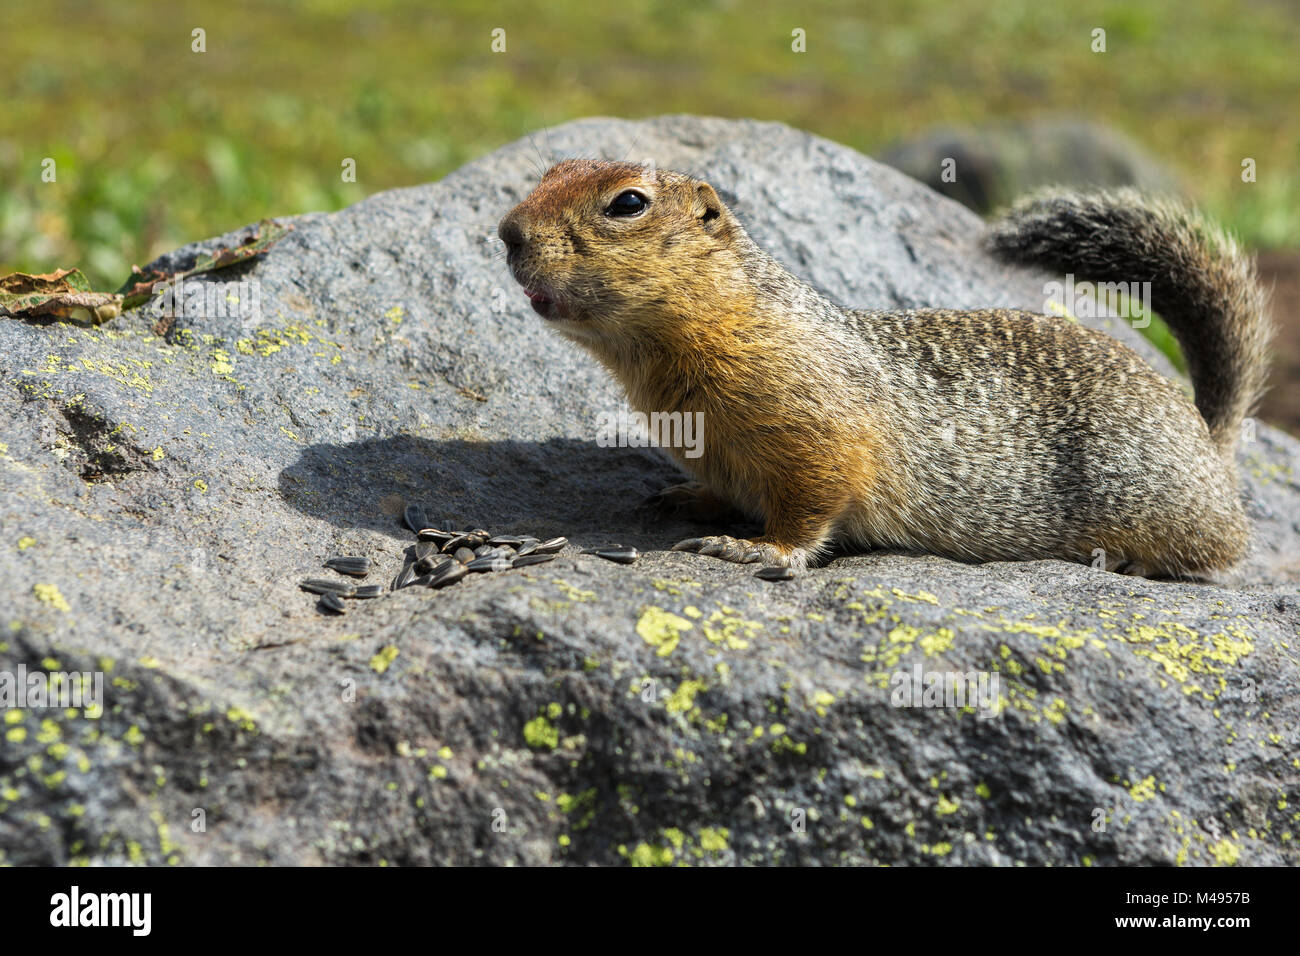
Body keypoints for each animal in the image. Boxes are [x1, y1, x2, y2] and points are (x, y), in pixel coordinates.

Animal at [498, 159, 1273, 577]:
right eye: (549, 172)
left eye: (627, 202)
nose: (506, 232)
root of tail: (1207, 437)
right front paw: (691, 498)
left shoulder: (819, 433)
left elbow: (811, 507)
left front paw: (754, 547)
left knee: (1224, 548)